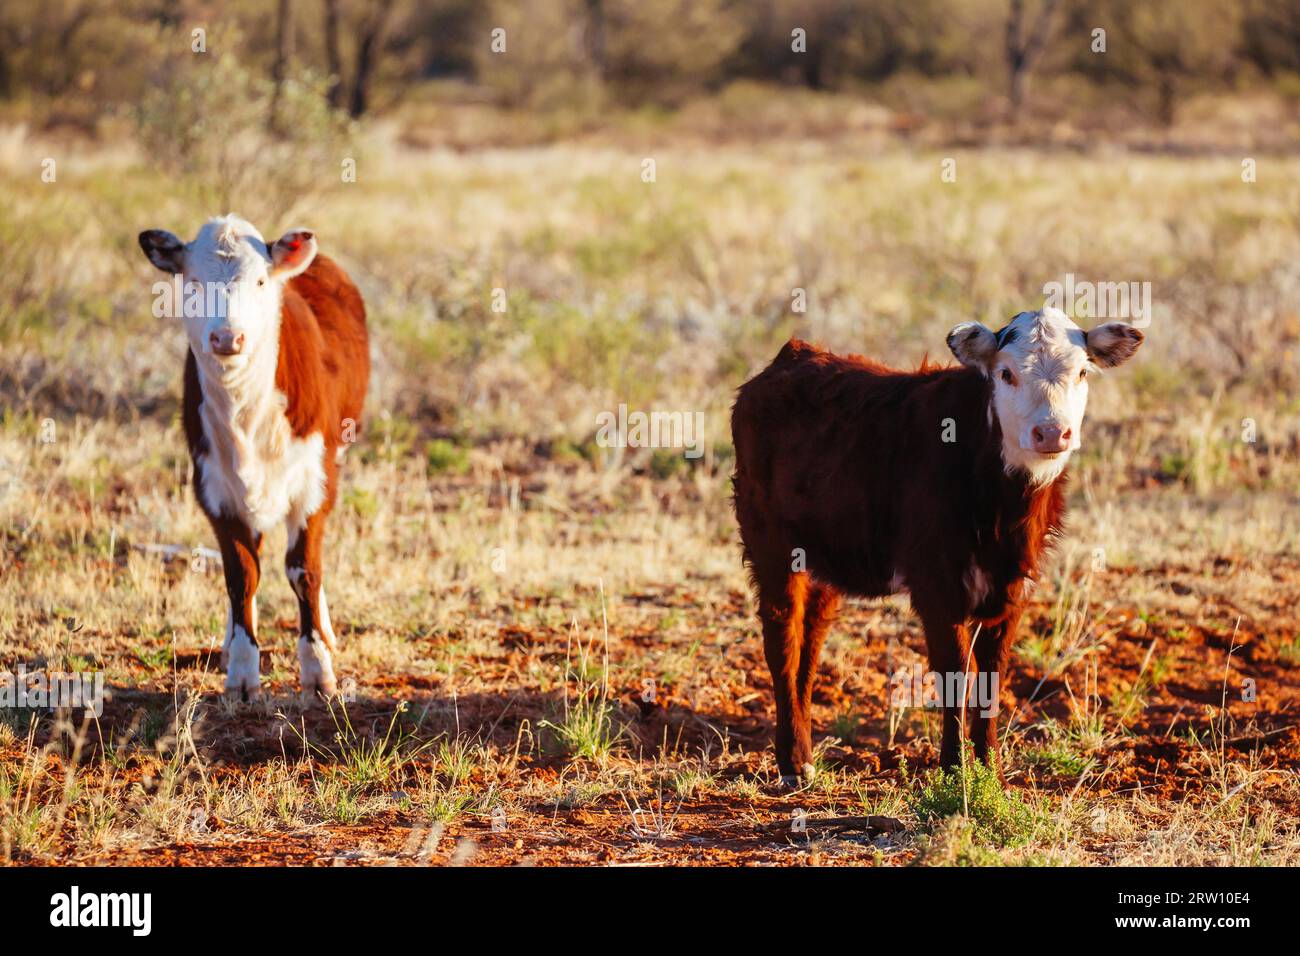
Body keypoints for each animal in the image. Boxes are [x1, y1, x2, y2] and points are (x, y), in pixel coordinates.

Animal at [138, 215, 369, 700]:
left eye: (261, 281)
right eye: (193, 281)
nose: (228, 336)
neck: (244, 410)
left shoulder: (315, 481)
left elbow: (305, 570)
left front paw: (318, 668)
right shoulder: (213, 485)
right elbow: (241, 574)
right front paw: (243, 671)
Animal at [731, 307, 1143, 786]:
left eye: (1081, 372)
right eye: (1005, 374)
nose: (1051, 433)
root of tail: (790, 356)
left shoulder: (1013, 587)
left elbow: (992, 675)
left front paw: (991, 770)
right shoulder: (937, 585)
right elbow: (955, 674)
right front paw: (954, 769)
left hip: (820, 558)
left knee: (809, 643)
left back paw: (805, 753)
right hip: (770, 543)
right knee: (782, 636)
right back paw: (793, 762)